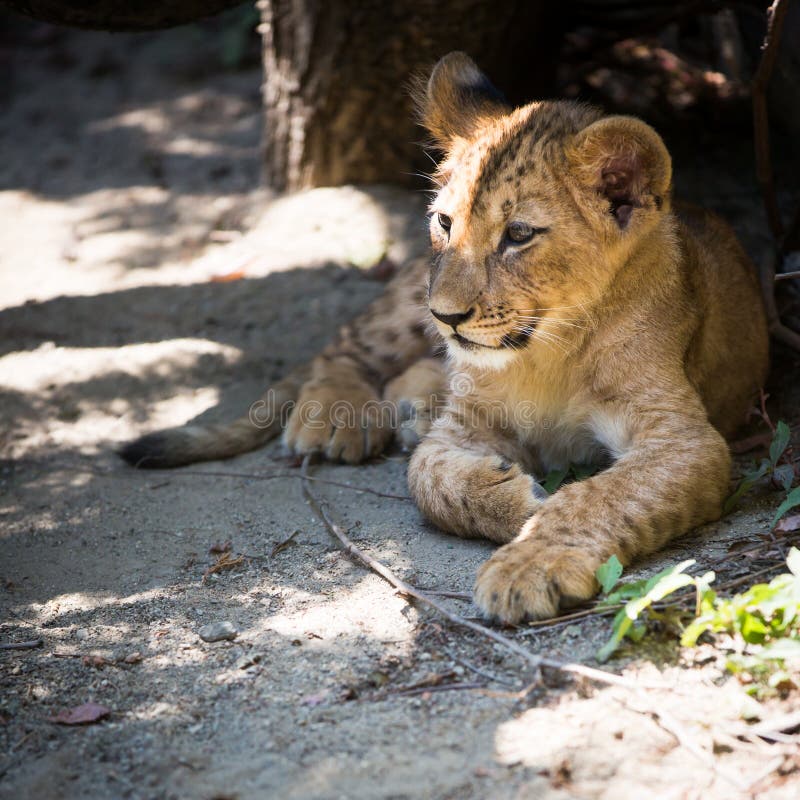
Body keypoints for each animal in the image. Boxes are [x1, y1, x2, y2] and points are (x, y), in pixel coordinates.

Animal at [121, 52, 769, 623]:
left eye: (519, 235)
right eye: (444, 222)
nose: (447, 316)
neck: (548, 351)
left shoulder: (685, 439)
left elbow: (599, 495)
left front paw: (528, 565)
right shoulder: (465, 424)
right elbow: (429, 479)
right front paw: (517, 503)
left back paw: (412, 405)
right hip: (406, 301)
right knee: (345, 346)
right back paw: (336, 417)